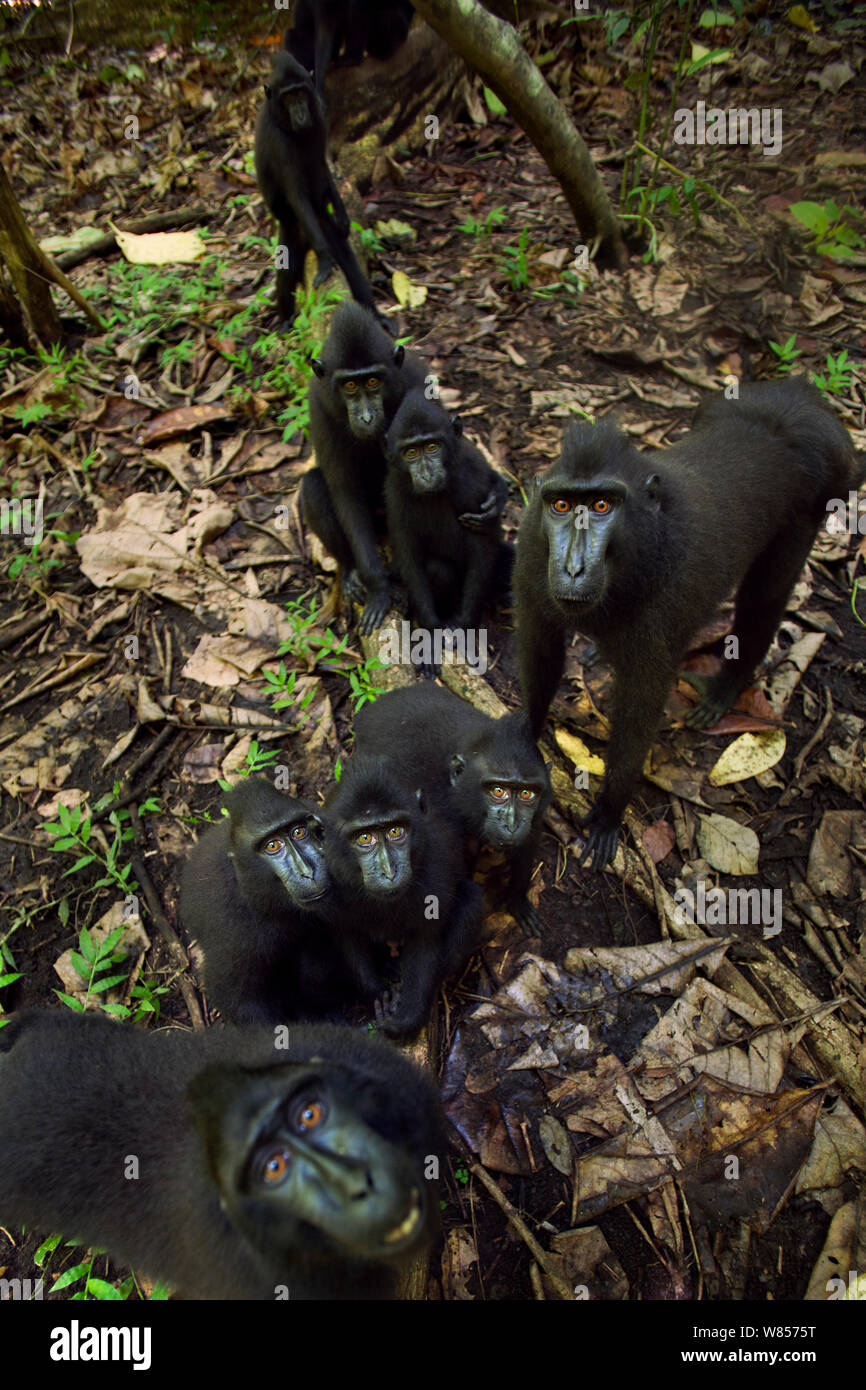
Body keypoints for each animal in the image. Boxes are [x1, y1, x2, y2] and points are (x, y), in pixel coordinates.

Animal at [179, 778, 379, 1026]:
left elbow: (348, 930)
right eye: (272, 846)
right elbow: (241, 1002)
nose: (307, 872)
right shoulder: (232, 930)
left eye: (298, 831)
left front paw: (377, 993)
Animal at [254, 50, 378, 328]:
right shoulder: (279, 144)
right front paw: (323, 260)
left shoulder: (319, 115)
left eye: (300, 92)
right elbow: (296, 194)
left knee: (348, 260)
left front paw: (343, 215)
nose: (300, 111)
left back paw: (378, 316)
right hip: (297, 229)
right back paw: (285, 320)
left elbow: (322, 162)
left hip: (322, 222)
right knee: (288, 267)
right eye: (288, 97)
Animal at [324, 753, 484, 1037]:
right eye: (364, 838)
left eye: (395, 831)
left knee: (471, 902)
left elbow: (425, 940)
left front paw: (405, 1019)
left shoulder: (436, 872)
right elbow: (345, 933)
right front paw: (378, 992)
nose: (389, 871)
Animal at [384, 390, 512, 645]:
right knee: (437, 568)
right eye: (411, 452)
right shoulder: (395, 494)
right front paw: (431, 629)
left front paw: (464, 624)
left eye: (432, 446)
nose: (426, 474)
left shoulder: (474, 477)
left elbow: (483, 545)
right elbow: (409, 555)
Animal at [514, 377, 866, 870]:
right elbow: (542, 650)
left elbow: (640, 707)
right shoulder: (531, 551)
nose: (573, 568)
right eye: (561, 504)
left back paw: (725, 687)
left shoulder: (665, 605)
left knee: (765, 596)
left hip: (806, 510)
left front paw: (609, 811)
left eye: (602, 505)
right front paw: (524, 738)